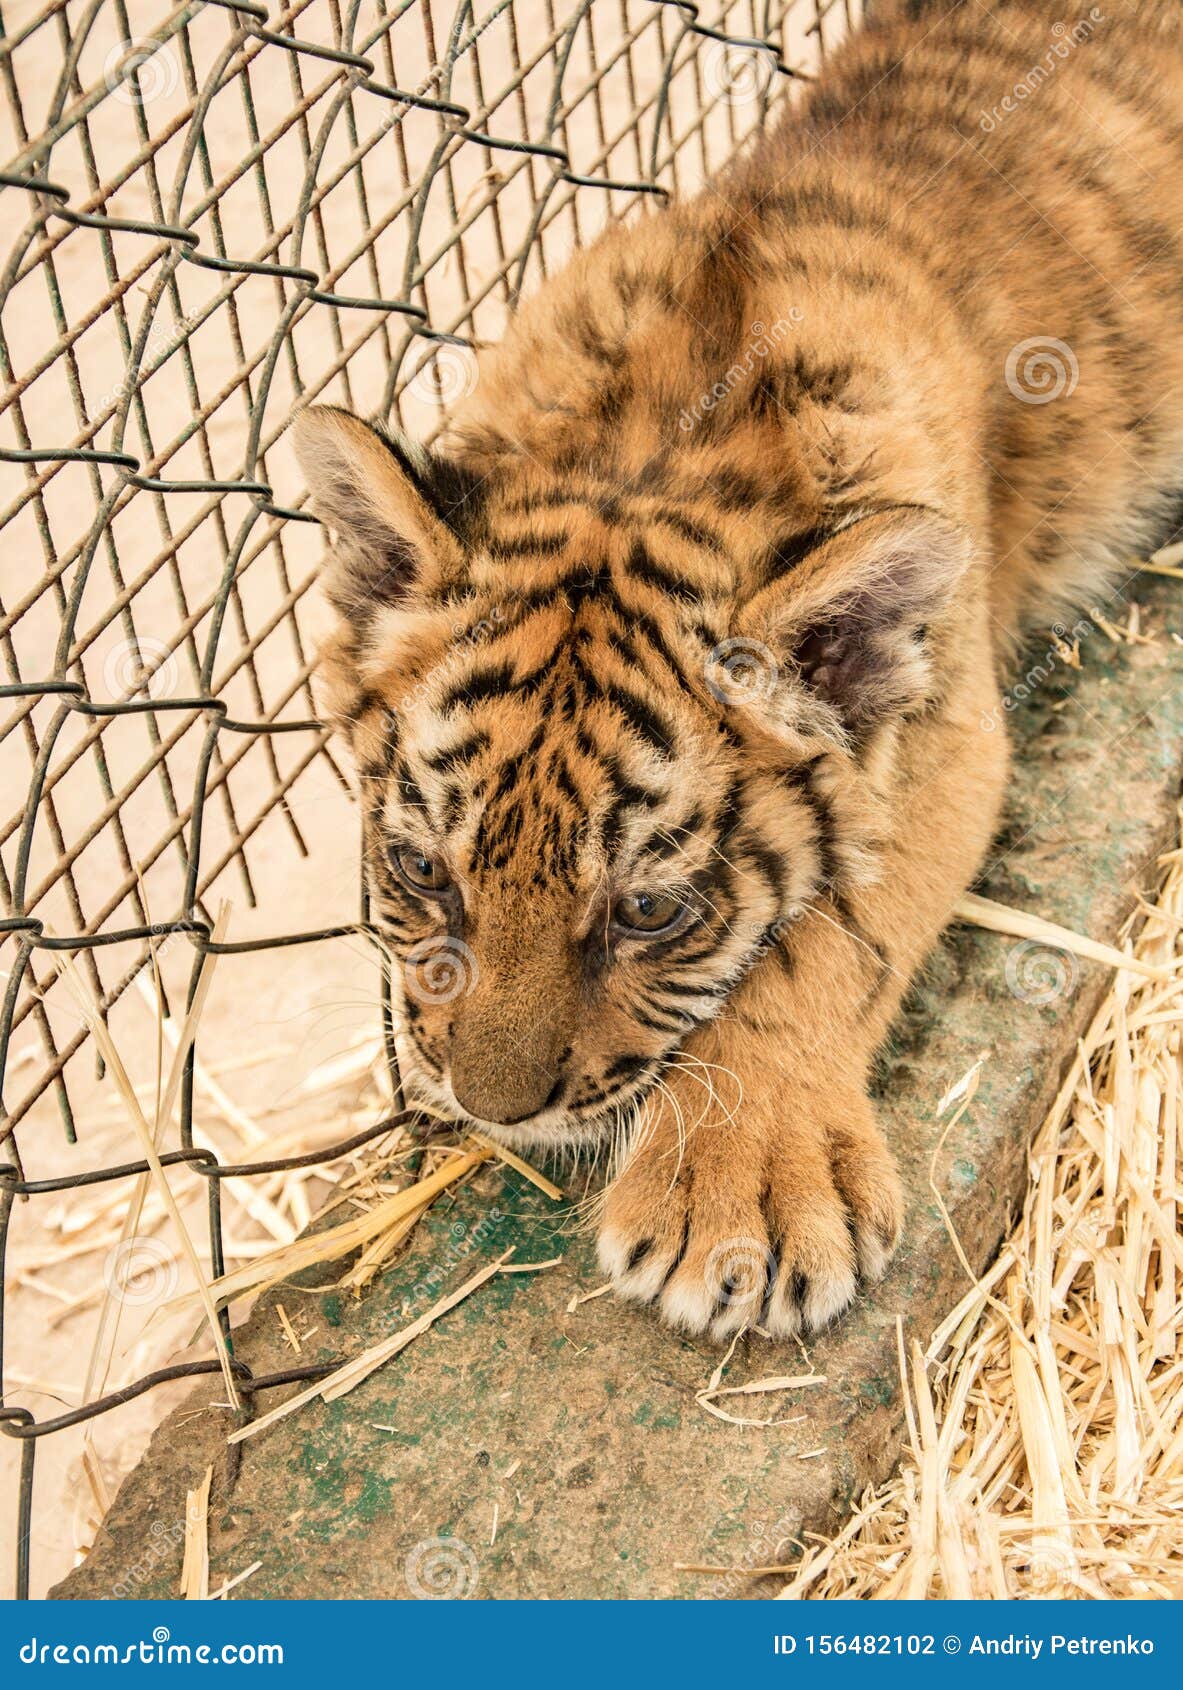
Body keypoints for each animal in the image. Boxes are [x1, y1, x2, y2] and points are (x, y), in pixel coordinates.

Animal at [292, 0, 1183, 1341]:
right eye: (417, 871)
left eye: (651, 912)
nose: (492, 1108)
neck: (666, 436)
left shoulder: (946, 727)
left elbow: (835, 936)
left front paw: (739, 1195)